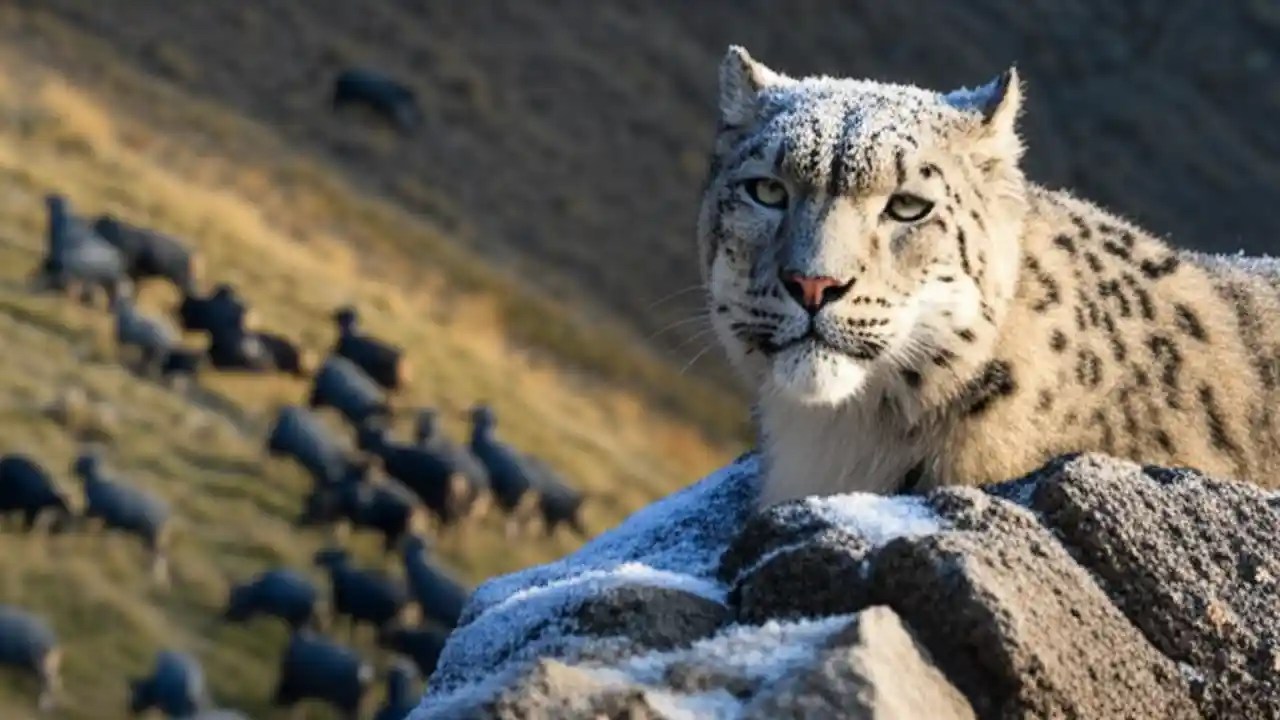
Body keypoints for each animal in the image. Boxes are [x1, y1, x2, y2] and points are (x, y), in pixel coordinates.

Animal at [73, 450, 171, 585]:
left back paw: (155, 577)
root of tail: (166, 511)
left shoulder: (93, 511)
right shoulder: (106, 520)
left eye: (83, 459)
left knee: (160, 555)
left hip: (151, 535)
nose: (71, 467)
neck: (97, 480)